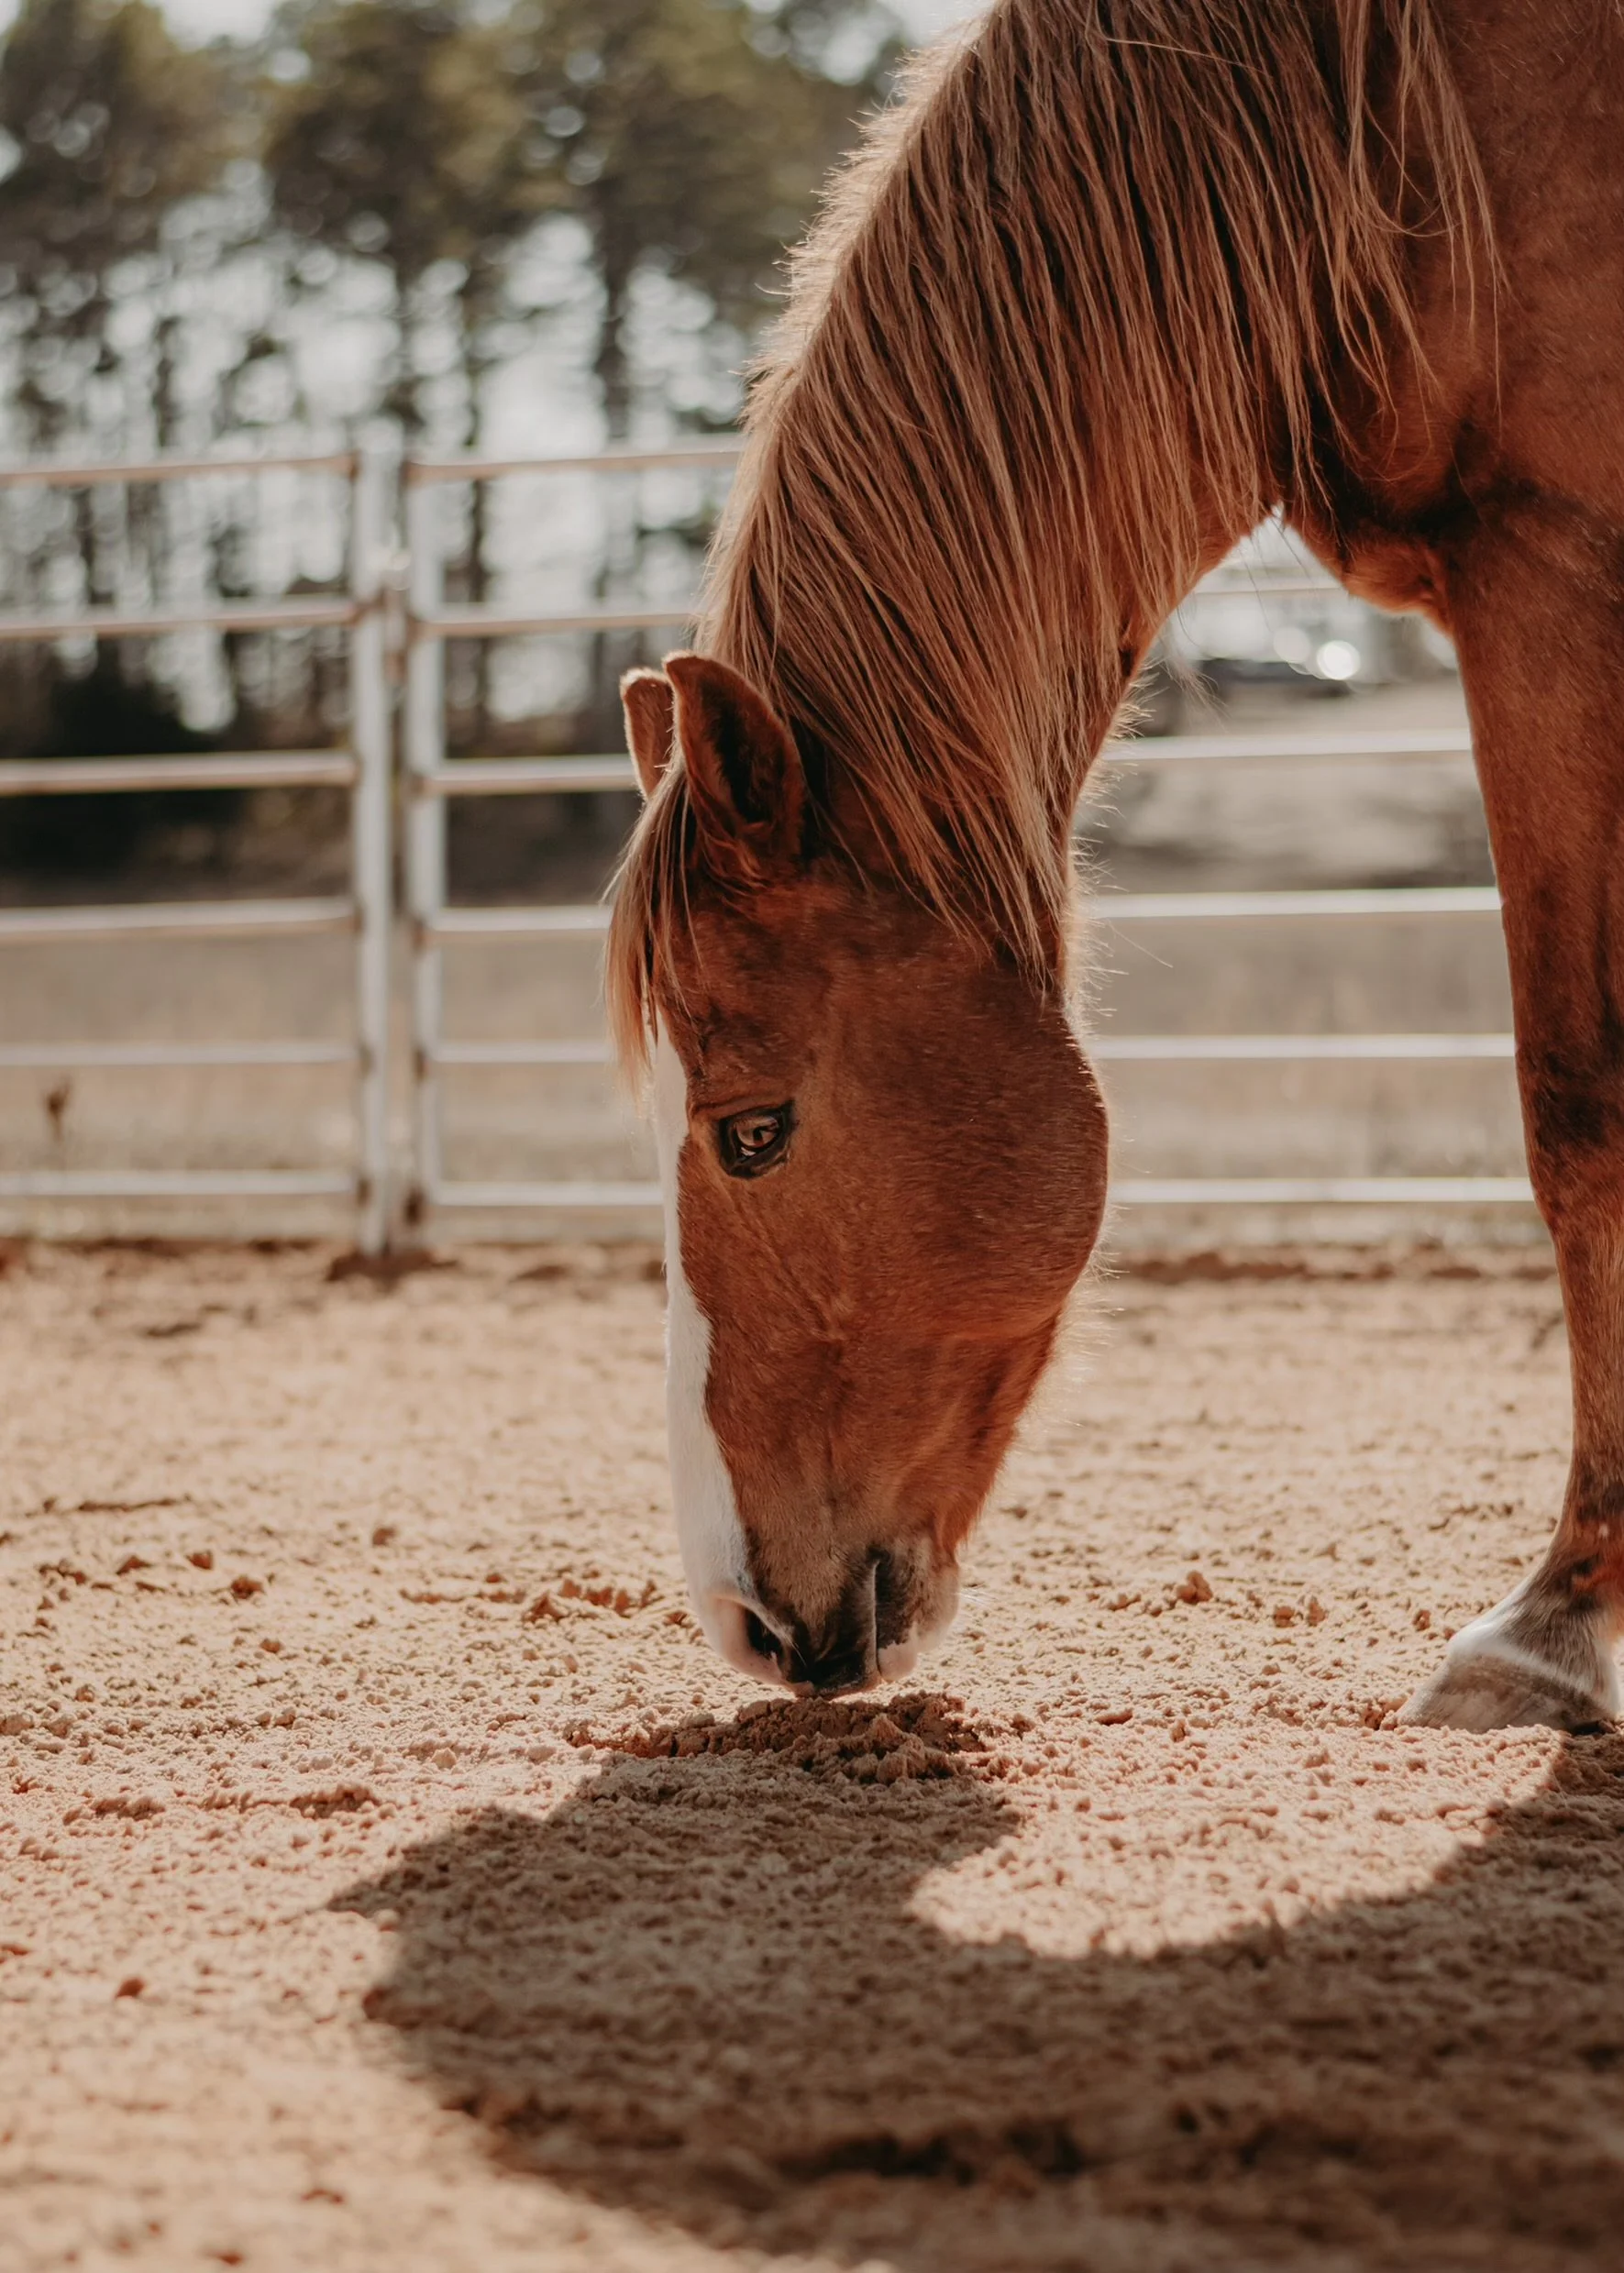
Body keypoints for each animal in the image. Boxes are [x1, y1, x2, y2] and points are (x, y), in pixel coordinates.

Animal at [608, 0, 1624, 1729]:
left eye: (751, 1132)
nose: (739, 1617)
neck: (1398, 124)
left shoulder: (1545, 570)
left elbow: (1579, 1115)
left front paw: (1551, 1625)